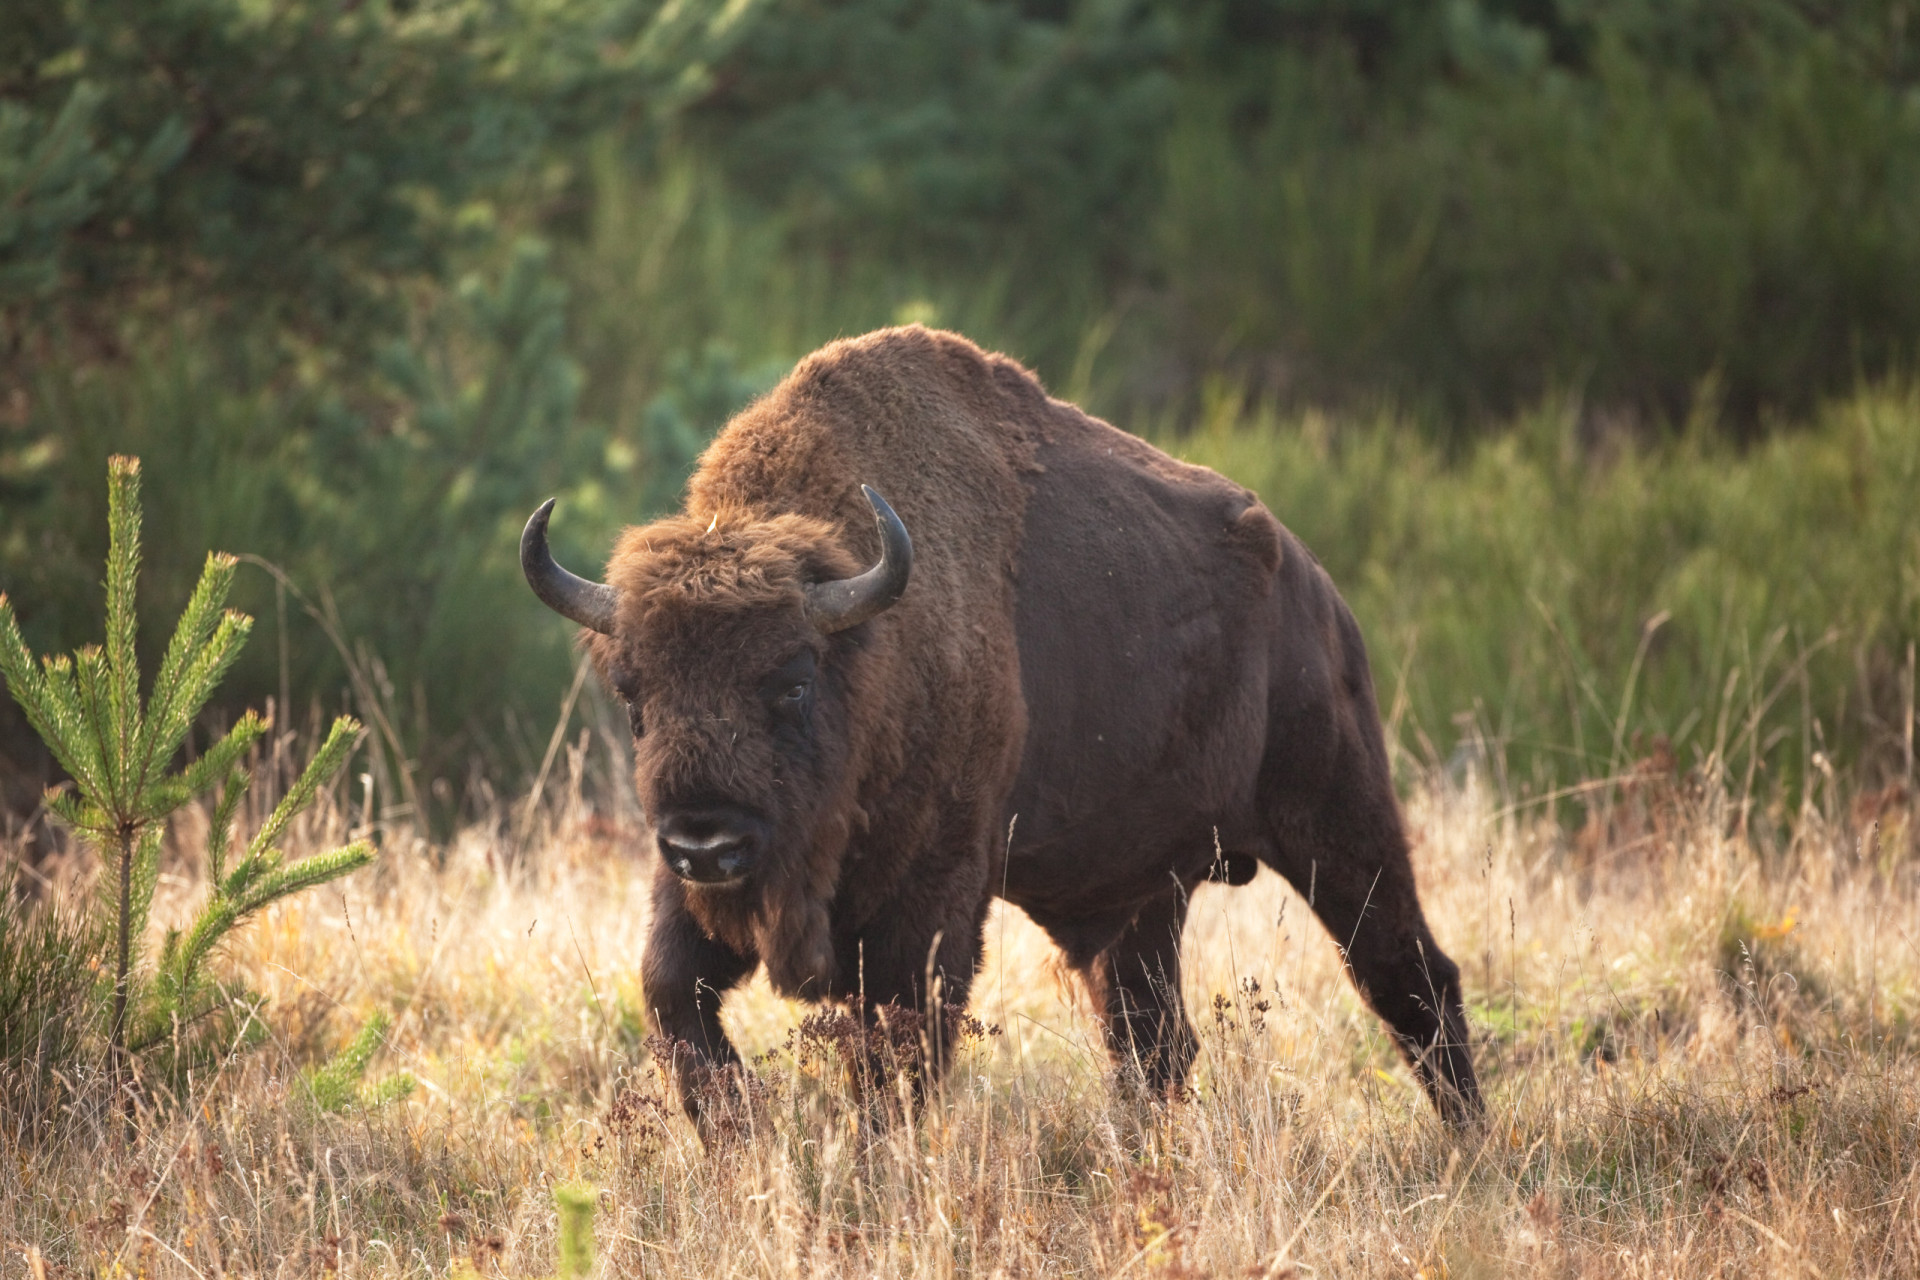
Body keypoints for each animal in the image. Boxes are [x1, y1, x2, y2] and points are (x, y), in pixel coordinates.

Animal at [523, 326, 1480, 1124]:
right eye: (633, 695)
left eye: (791, 682)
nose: (707, 845)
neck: (869, 647)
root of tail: (1318, 592)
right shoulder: (684, 897)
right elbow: (671, 994)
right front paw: (742, 1132)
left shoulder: (930, 902)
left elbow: (897, 1049)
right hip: (1151, 895)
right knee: (1154, 1041)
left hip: (1339, 822)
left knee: (1409, 977)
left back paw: (1468, 1146)